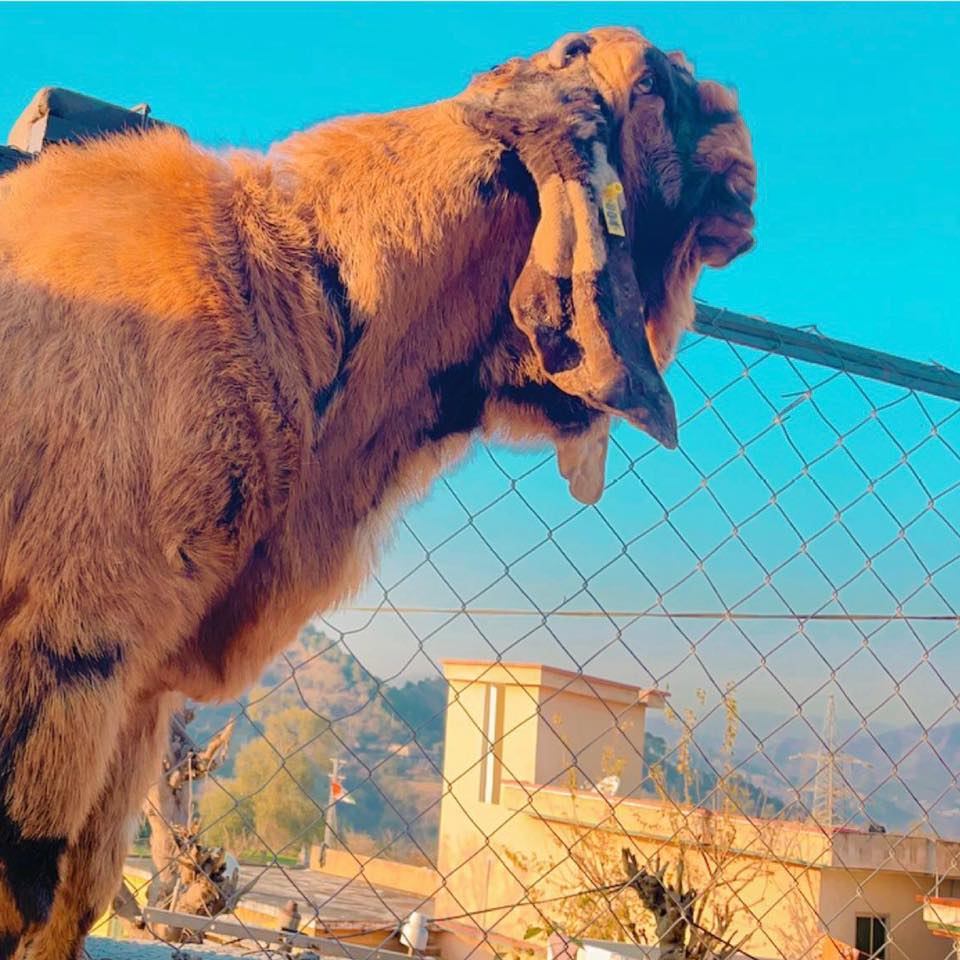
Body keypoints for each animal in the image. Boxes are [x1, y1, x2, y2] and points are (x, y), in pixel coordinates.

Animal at [0, 26, 755, 960]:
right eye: (654, 82)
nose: (745, 176)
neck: (290, 284)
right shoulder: (64, 644)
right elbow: (29, 892)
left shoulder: (137, 699)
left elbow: (77, 896)